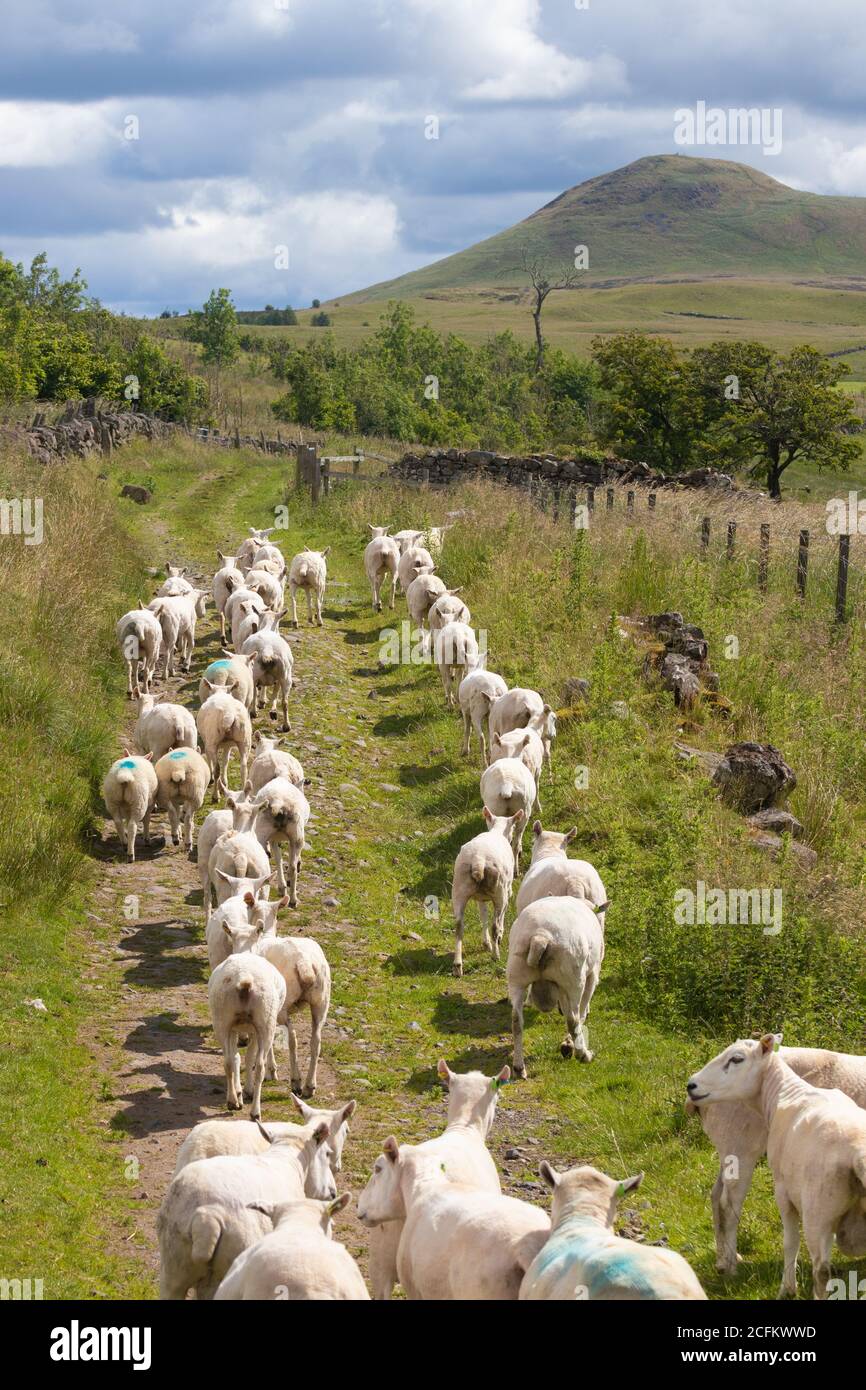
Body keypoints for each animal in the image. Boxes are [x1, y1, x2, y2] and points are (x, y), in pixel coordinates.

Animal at [157, 1118, 333, 1299]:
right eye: (327, 1154)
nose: (332, 1193)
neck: (286, 1158)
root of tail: (206, 1216)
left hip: (173, 1265)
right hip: (230, 1261)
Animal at [253, 776, 310, 905]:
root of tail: (278, 804)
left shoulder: (273, 839)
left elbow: (278, 859)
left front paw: (282, 887)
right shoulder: (275, 839)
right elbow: (279, 860)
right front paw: (283, 887)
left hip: (264, 834)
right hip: (297, 837)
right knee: (292, 868)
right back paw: (293, 899)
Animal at [451, 809, 525, 976]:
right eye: (512, 828)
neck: (497, 831)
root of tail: (479, 860)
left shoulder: (480, 897)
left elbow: (483, 915)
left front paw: (486, 944)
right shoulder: (507, 892)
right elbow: (498, 918)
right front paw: (497, 939)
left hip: (459, 889)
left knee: (459, 926)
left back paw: (458, 965)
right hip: (499, 891)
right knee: (494, 926)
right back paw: (496, 956)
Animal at [507, 896, 604, 1077]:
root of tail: (540, 937)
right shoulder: (592, 974)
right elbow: (582, 1011)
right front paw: (568, 1045)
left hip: (516, 977)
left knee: (516, 1021)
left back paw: (518, 1067)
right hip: (574, 978)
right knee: (573, 1019)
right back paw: (583, 1055)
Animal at [687, 1036, 866, 1298]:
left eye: (736, 1059)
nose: (691, 1084)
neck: (790, 1092)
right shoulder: (783, 1188)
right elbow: (791, 1241)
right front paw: (788, 1288)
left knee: (717, 1196)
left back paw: (724, 1261)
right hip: (743, 1150)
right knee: (730, 1204)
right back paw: (730, 1265)